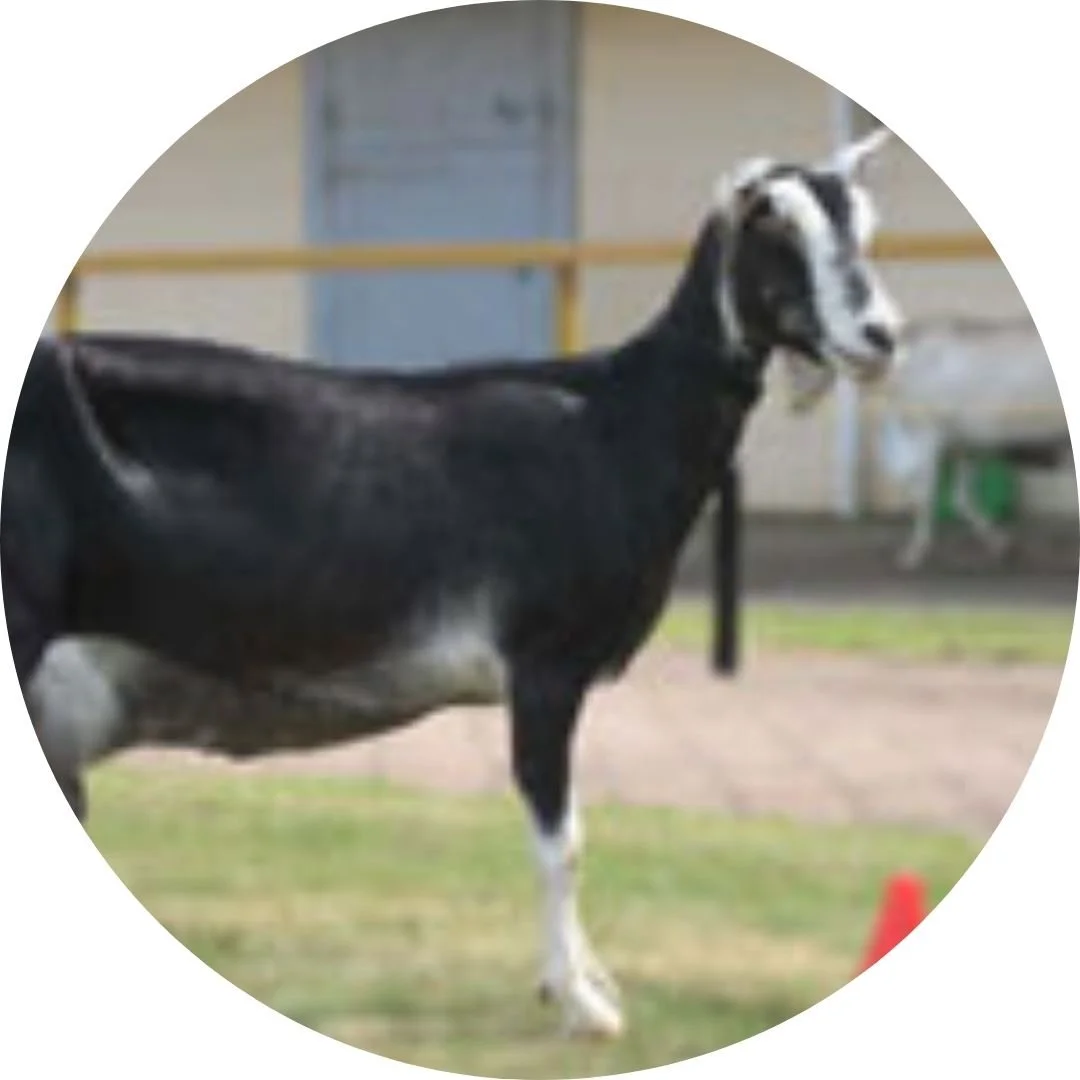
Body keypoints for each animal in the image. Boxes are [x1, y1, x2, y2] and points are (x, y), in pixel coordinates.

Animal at [1, 132, 901, 1038]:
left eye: (862, 223)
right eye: (772, 226)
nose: (880, 334)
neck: (613, 423)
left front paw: (589, 985)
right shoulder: (543, 664)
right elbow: (562, 840)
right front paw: (581, 1004)